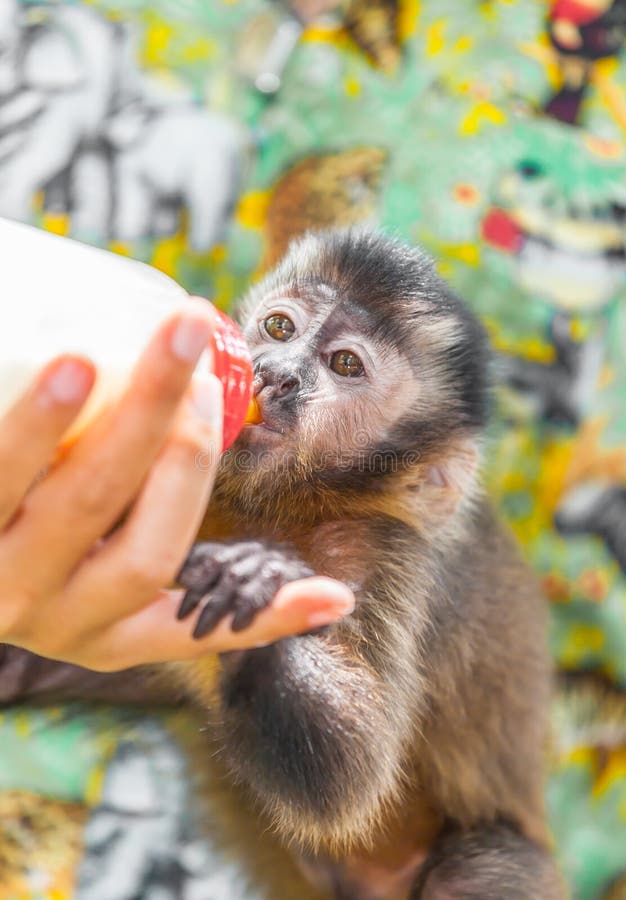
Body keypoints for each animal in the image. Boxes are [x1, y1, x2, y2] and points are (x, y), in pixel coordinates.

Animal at [0, 229, 564, 899]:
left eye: (345, 364)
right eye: (279, 327)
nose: (275, 374)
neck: (279, 506)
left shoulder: (380, 548)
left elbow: (352, 771)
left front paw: (258, 590)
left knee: (473, 870)